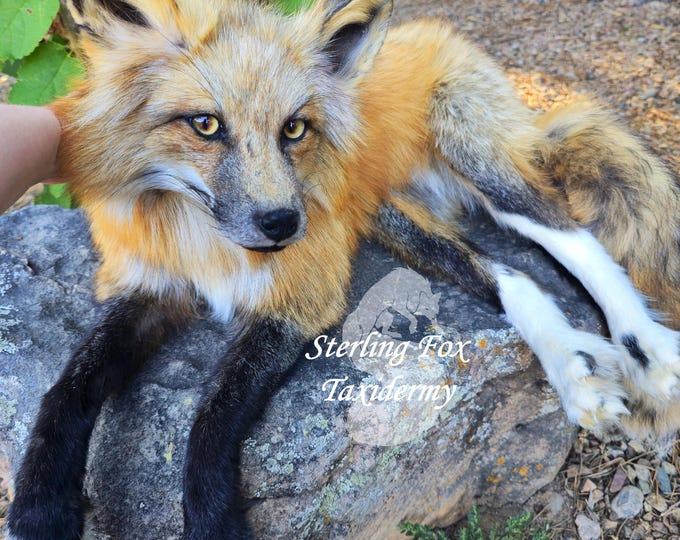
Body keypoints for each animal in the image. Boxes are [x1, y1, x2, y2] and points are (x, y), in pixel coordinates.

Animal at [7, 0, 680, 538]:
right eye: (205, 124)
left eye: (294, 128)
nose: (284, 224)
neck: (202, 241)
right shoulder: (152, 288)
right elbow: (67, 388)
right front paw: (40, 505)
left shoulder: (304, 295)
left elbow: (213, 417)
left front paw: (211, 519)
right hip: (388, 214)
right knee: (507, 272)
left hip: (465, 164)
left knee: (562, 245)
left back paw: (620, 354)